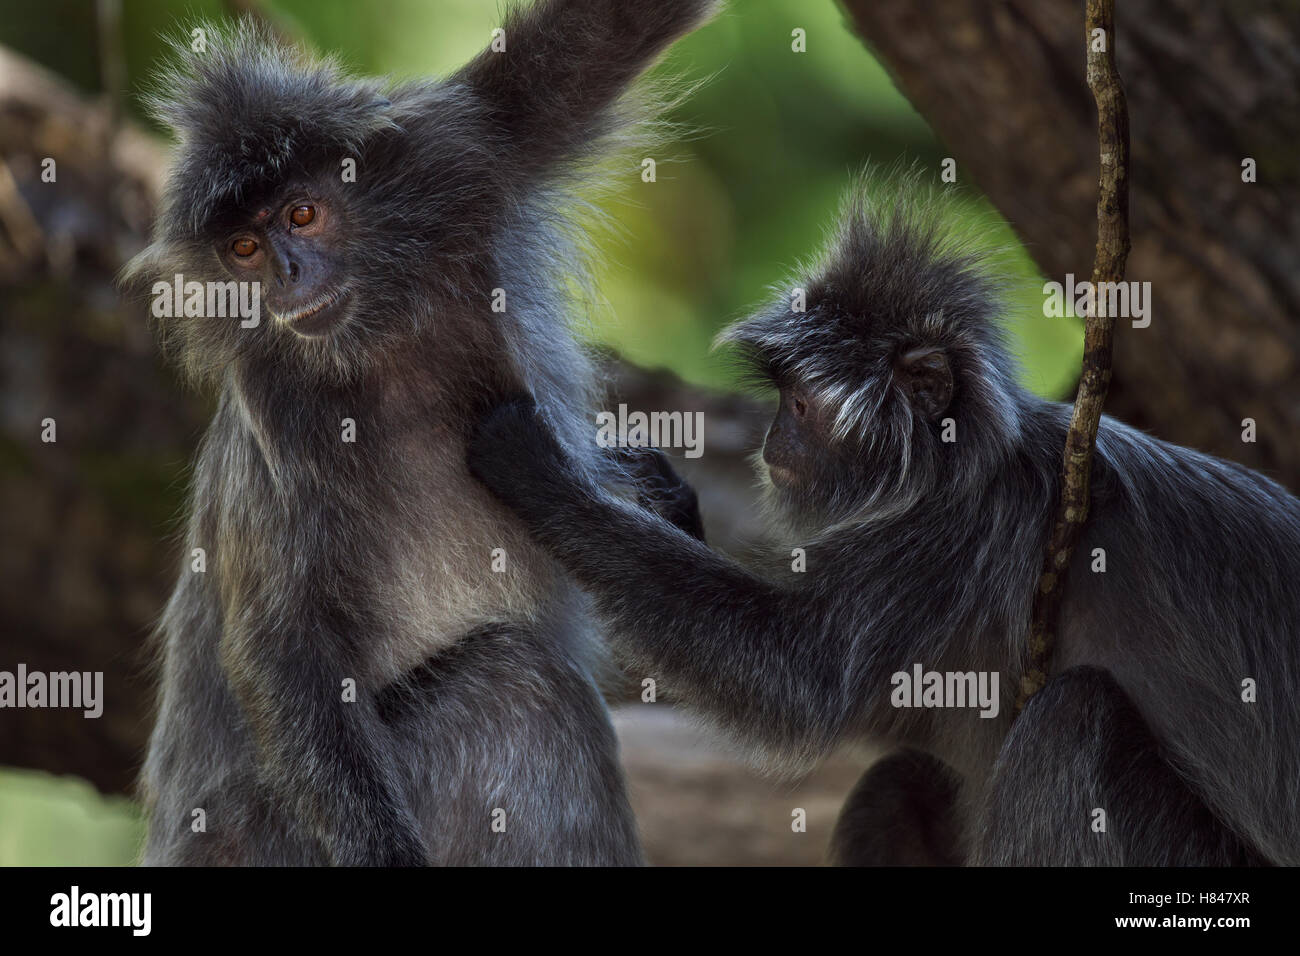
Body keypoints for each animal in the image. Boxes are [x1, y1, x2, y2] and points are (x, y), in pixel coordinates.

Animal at [123, 0, 718, 866]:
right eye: (244, 250)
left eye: (303, 214)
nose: (286, 276)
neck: (378, 342)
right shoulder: (280, 424)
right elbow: (283, 657)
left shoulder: (464, 152)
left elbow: (605, 33)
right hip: (264, 839)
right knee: (520, 683)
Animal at [466, 176, 1300, 866]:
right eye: (781, 399)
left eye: (801, 405)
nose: (771, 440)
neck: (967, 463)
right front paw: (655, 495)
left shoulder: (958, 536)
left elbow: (800, 680)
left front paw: (544, 472)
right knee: (900, 782)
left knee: (1073, 721)